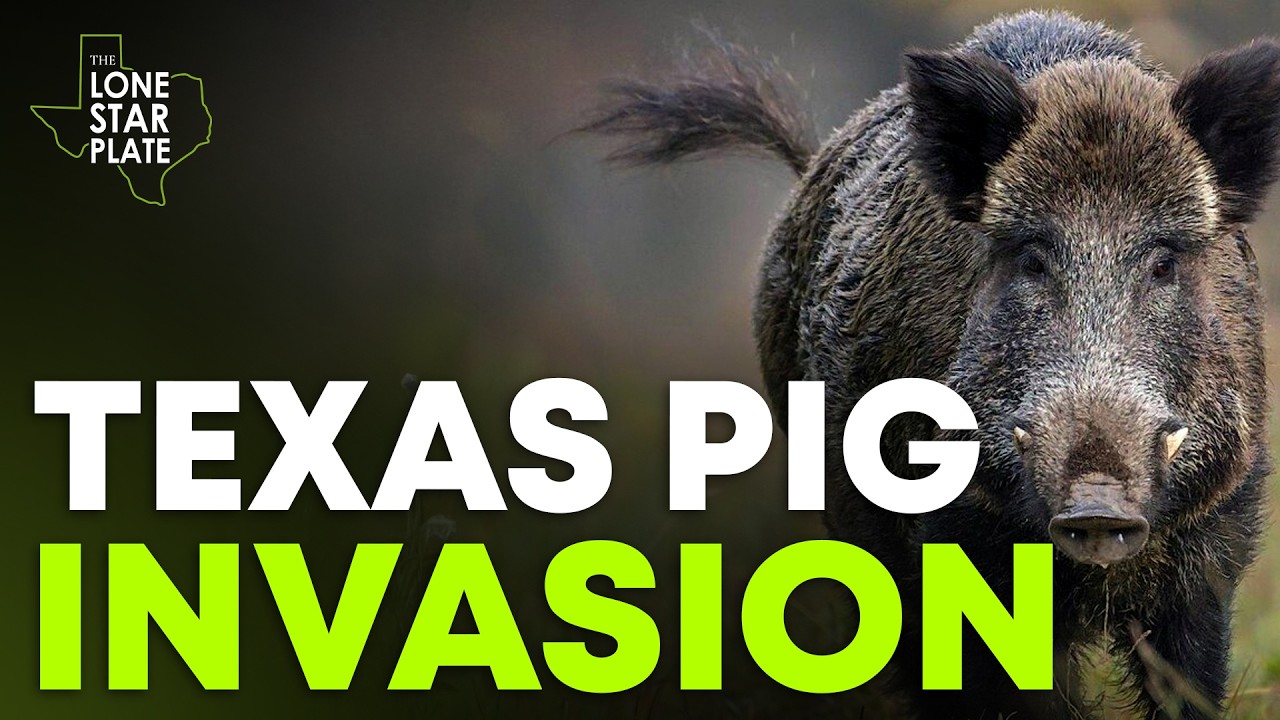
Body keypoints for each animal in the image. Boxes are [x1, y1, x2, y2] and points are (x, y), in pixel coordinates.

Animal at [584, 10, 1280, 720]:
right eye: (1031, 258)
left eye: (1164, 261)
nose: (1096, 502)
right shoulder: (951, 537)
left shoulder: (1217, 532)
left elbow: (1188, 681)